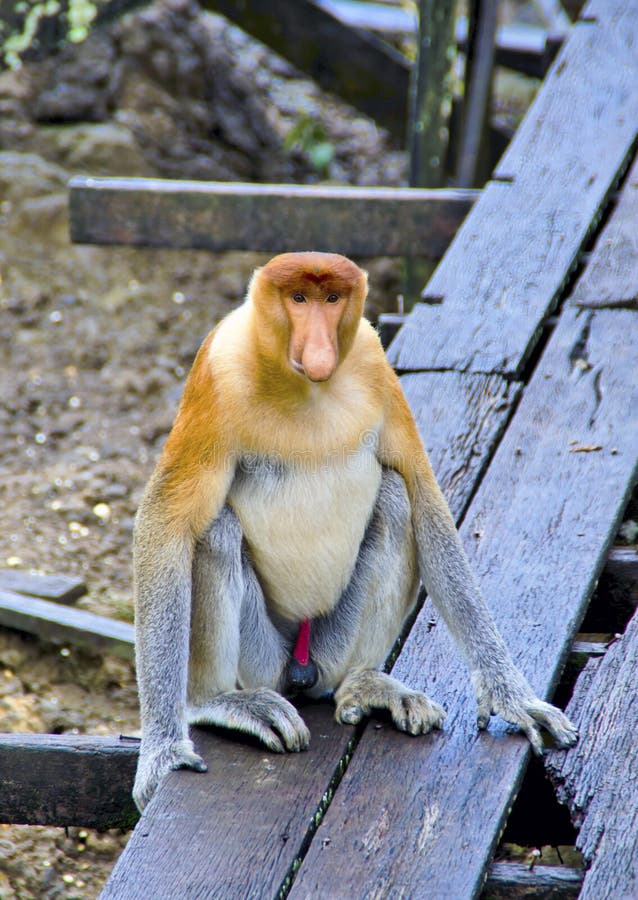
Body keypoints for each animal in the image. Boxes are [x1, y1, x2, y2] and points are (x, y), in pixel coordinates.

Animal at [132, 251, 577, 811]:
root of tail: (299, 669)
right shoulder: (216, 376)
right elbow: (165, 522)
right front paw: (162, 754)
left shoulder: (373, 363)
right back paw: (220, 701)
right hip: (263, 658)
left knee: (394, 498)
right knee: (216, 533)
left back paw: (366, 686)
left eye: (331, 299)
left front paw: (511, 697)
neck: (305, 389)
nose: (320, 350)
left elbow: (422, 495)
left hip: (331, 647)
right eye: (298, 298)